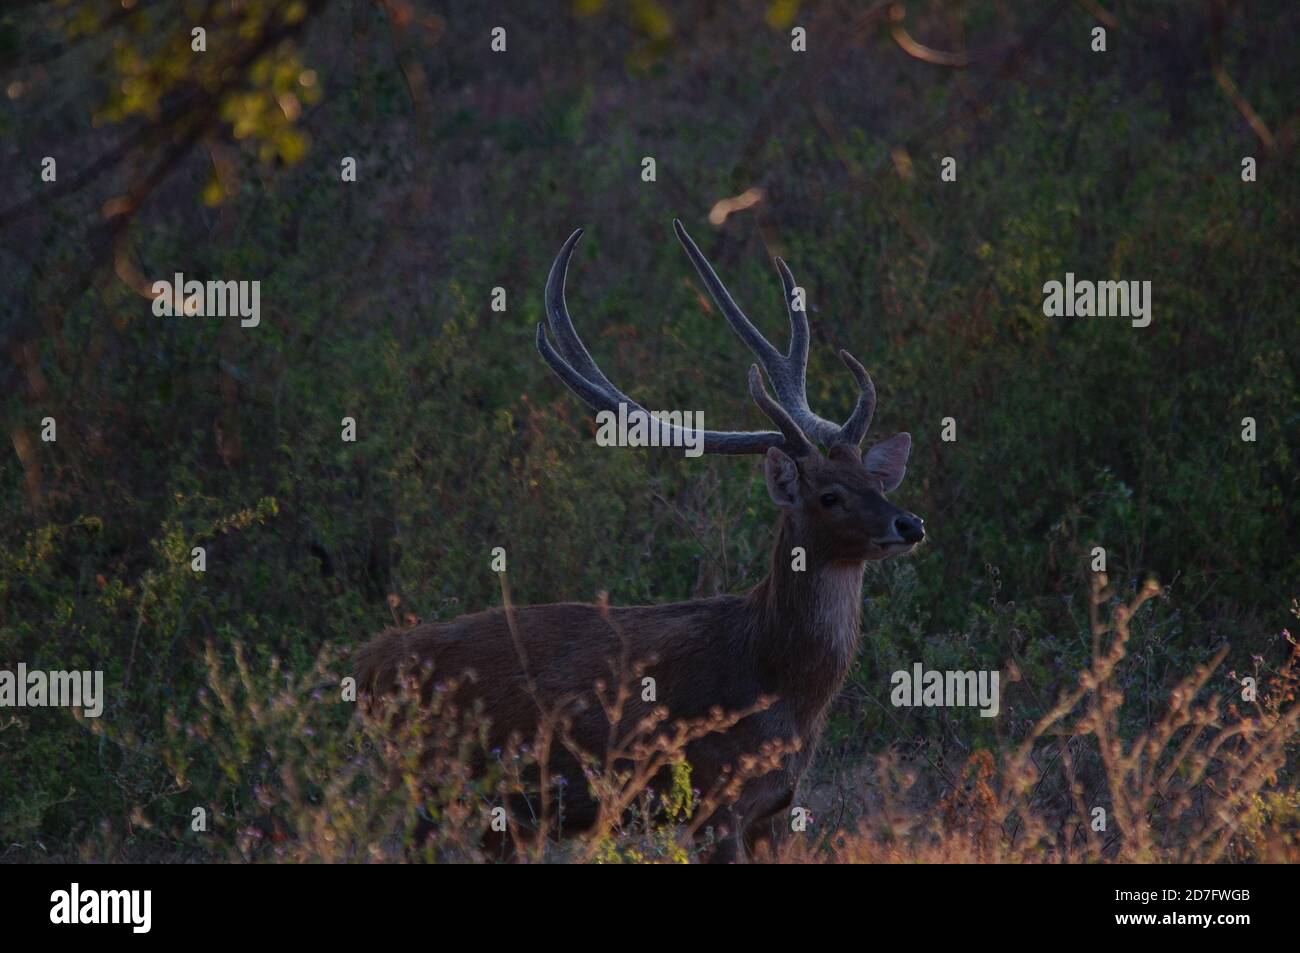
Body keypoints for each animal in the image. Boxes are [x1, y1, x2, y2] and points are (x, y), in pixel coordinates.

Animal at [355, 220, 924, 862]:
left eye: (875, 480)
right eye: (829, 495)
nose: (909, 525)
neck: (781, 685)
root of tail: (367, 662)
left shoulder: (775, 807)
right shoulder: (714, 796)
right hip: (432, 783)